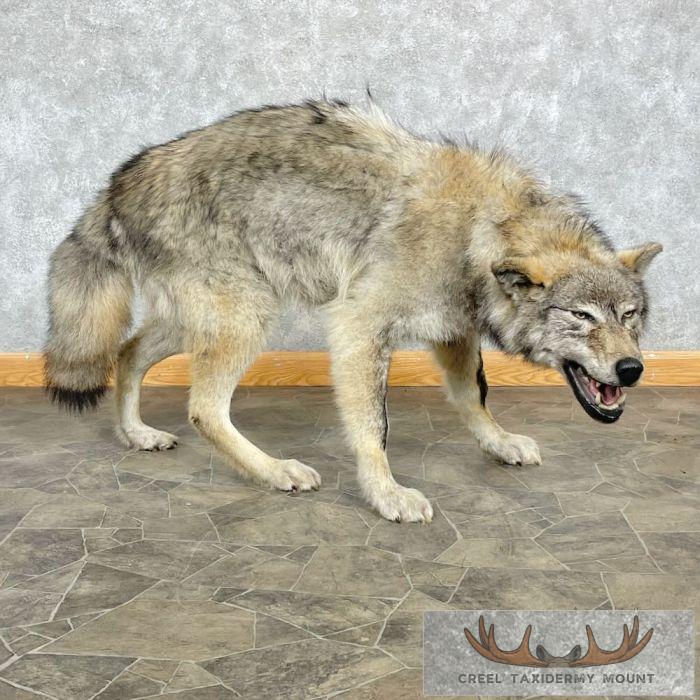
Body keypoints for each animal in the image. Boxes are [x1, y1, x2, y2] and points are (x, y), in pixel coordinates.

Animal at [44, 99, 662, 523]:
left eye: (630, 316)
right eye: (582, 317)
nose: (632, 370)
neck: (479, 230)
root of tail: (119, 181)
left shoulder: (453, 330)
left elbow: (474, 396)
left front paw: (499, 442)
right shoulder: (359, 326)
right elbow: (374, 427)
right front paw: (386, 495)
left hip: (202, 322)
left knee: (126, 353)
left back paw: (137, 435)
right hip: (247, 319)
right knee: (202, 409)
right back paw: (277, 472)